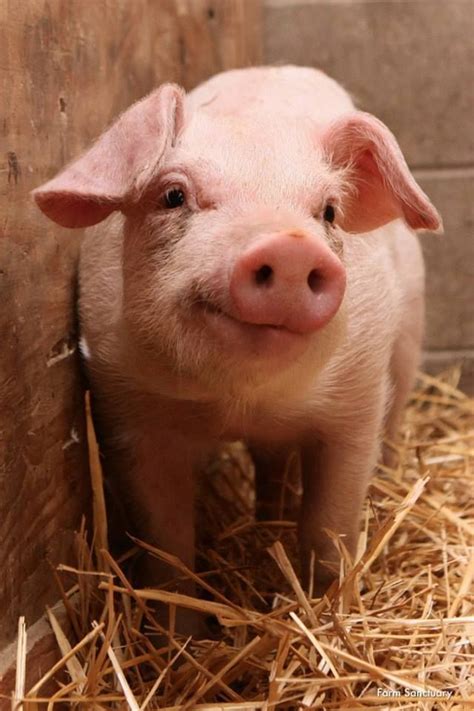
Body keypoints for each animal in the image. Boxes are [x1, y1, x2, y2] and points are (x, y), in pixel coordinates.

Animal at [34, 66, 441, 616]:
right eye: (173, 195)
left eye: (329, 212)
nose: (290, 247)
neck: (240, 401)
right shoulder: (126, 409)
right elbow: (166, 541)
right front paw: (180, 629)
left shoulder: (356, 400)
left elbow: (329, 521)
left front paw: (323, 607)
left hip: (408, 338)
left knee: (391, 427)